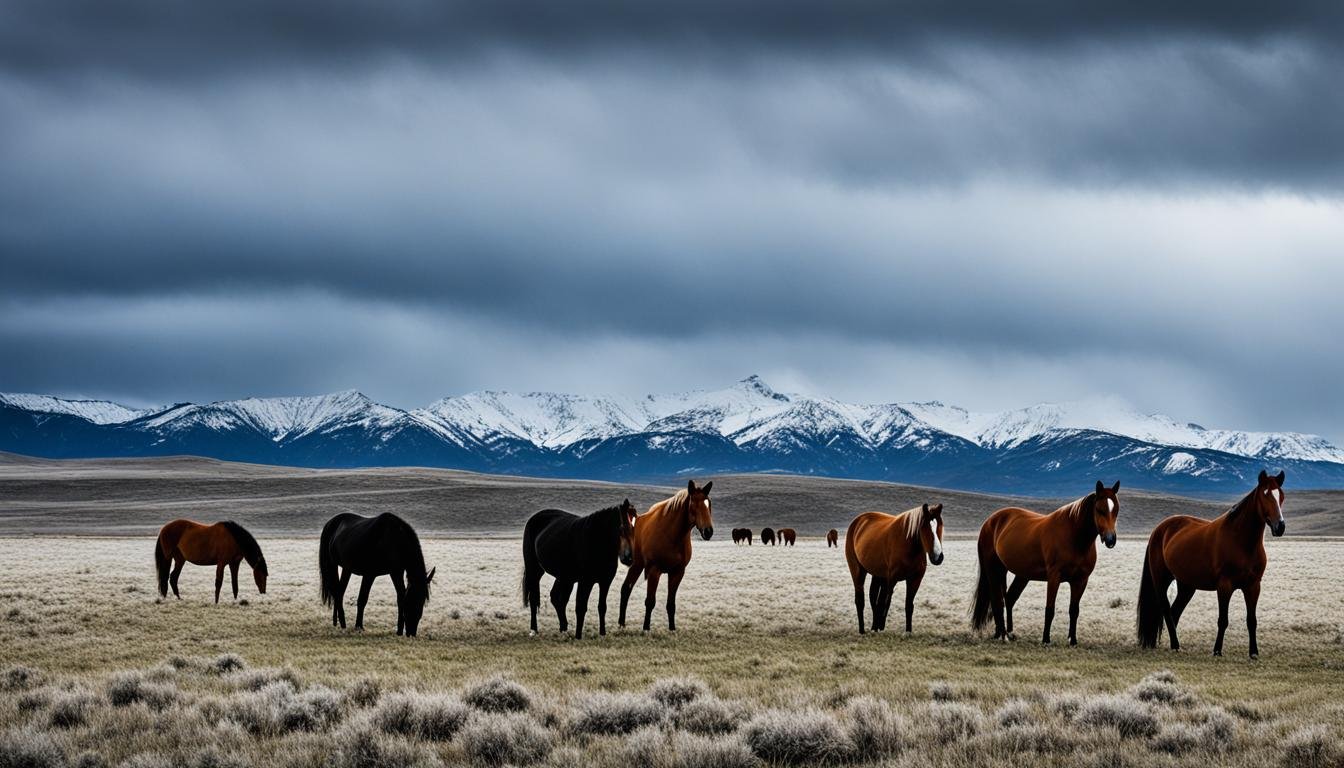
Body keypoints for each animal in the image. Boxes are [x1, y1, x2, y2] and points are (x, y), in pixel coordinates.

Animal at [521, 500, 636, 639]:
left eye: (634, 528)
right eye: (621, 528)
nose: (628, 558)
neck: (596, 542)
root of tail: (534, 517)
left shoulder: (605, 582)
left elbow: (602, 607)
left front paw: (602, 633)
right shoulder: (585, 582)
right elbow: (581, 607)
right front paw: (578, 636)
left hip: (565, 578)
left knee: (557, 598)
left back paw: (564, 628)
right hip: (534, 570)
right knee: (534, 599)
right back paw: (534, 629)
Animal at [618, 480, 714, 632]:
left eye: (708, 503)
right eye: (693, 503)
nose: (708, 531)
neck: (671, 535)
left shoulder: (677, 572)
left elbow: (671, 604)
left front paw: (672, 628)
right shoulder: (654, 571)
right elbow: (650, 601)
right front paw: (646, 628)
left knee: (626, 588)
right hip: (636, 565)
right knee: (626, 589)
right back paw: (621, 623)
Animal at [845, 504, 944, 633]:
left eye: (940, 526)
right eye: (925, 528)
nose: (938, 557)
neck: (909, 546)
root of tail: (858, 521)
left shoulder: (915, 579)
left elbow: (908, 605)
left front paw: (908, 631)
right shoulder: (891, 579)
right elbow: (885, 603)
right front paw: (881, 628)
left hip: (878, 575)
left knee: (873, 597)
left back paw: (873, 627)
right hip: (858, 571)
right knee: (860, 600)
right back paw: (862, 630)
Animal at [971, 481, 1121, 645]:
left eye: (1116, 510)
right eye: (1099, 510)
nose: (1110, 539)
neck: (1074, 538)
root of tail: (990, 521)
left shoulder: (1081, 580)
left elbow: (1074, 610)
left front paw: (1072, 640)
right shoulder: (1054, 577)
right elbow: (1050, 609)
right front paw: (1045, 639)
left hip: (1020, 574)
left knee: (1009, 598)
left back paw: (1007, 632)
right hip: (993, 570)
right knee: (997, 600)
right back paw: (1003, 635)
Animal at [1137, 470, 1285, 659]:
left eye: (1281, 495)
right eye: (1265, 494)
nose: (1280, 526)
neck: (1242, 542)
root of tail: (1159, 529)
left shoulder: (1253, 586)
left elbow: (1252, 620)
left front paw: (1253, 653)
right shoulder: (1224, 586)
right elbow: (1223, 620)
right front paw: (1217, 650)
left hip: (1186, 585)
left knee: (1174, 611)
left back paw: (1174, 645)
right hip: (1161, 580)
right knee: (1166, 609)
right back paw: (1175, 645)